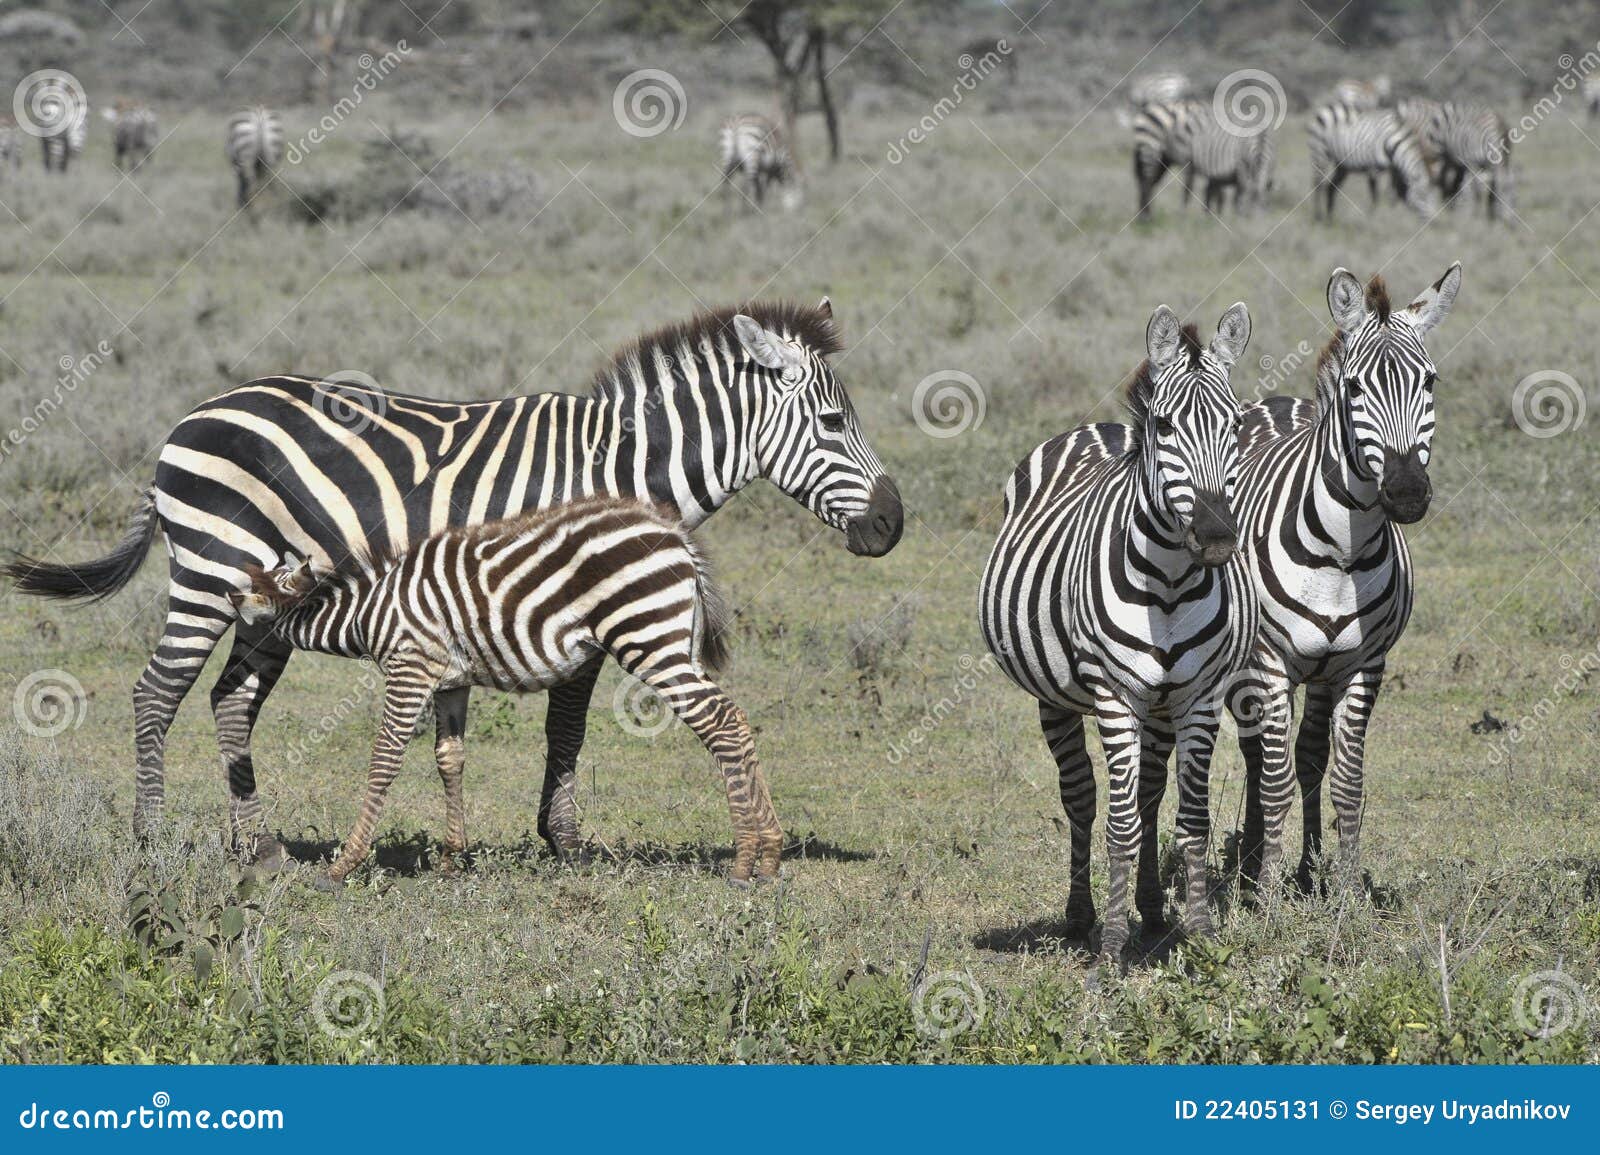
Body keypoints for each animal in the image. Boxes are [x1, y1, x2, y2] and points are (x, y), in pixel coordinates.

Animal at [230, 498, 783, 888]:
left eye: (259, 586)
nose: (230, 595)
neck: (371, 613)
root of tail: (674, 536)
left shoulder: (410, 669)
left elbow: (385, 758)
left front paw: (342, 866)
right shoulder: (451, 681)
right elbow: (449, 757)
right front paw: (452, 859)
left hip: (647, 638)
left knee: (719, 722)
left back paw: (743, 862)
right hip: (673, 640)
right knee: (735, 718)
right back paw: (771, 855)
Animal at [979, 303, 1257, 960]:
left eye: (1236, 427)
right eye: (1164, 427)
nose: (1216, 537)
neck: (1171, 582)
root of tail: (1096, 429)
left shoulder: (1199, 696)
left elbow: (1190, 820)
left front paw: (1200, 935)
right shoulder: (1114, 695)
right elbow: (1121, 824)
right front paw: (1108, 949)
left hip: (1159, 703)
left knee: (1151, 792)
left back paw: (1152, 912)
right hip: (1055, 695)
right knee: (1081, 795)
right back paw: (1081, 916)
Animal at [1231, 263, 1461, 897]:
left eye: (1430, 382)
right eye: (1355, 388)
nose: (1406, 494)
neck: (1342, 552)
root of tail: (1276, 402)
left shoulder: (1363, 663)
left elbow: (1346, 781)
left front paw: (1347, 894)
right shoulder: (1270, 664)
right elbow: (1275, 782)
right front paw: (1268, 898)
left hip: (1323, 670)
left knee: (1309, 754)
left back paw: (1307, 869)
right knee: (1257, 757)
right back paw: (1253, 867)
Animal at [1308, 103, 1439, 219]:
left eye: (1433, 198)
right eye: (1423, 195)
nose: (1432, 221)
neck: (1391, 141)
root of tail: (1326, 108)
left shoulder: (1394, 170)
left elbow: (1396, 192)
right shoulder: (1373, 169)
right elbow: (1376, 196)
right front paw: (1370, 218)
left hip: (1342, 165)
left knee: (1331, 187)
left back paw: (1330, 218)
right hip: (1320, 153)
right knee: (1318, 183)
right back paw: (1318, 216)